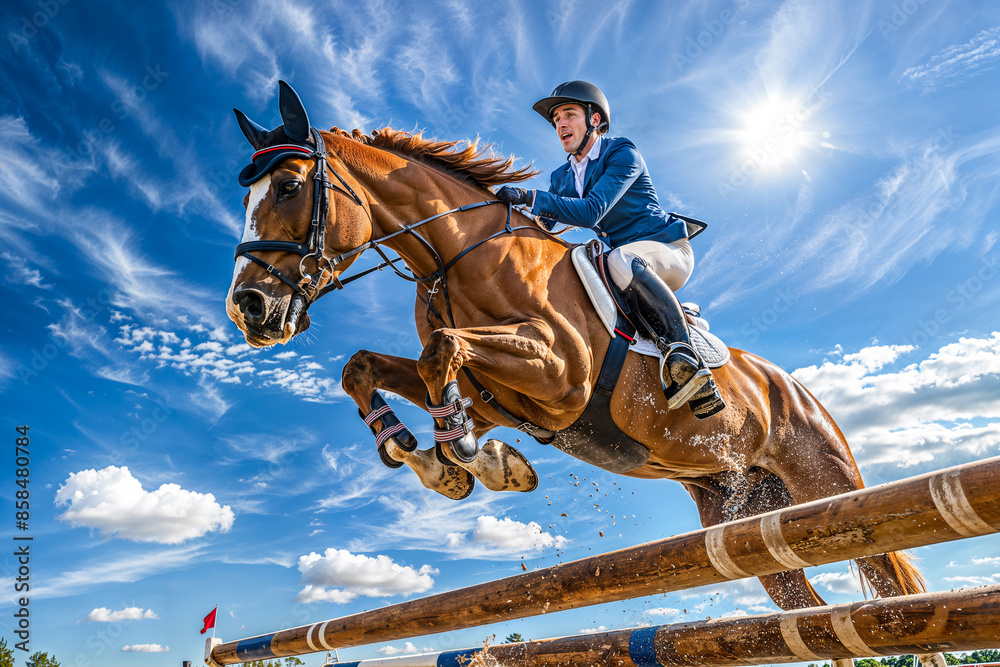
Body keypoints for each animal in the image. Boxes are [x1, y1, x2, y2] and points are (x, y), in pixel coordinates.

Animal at [226, 82, 943, 667]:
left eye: (288, 187)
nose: (249, 309)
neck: (458, 253)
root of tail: (800, 393)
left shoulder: (558, 374)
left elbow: (441, 356)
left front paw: (468, 456)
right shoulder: (497, 393)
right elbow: (368, 367)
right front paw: (436, 458)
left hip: (830, 489)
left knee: (889, 589)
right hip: (745, 516)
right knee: (811, 613)